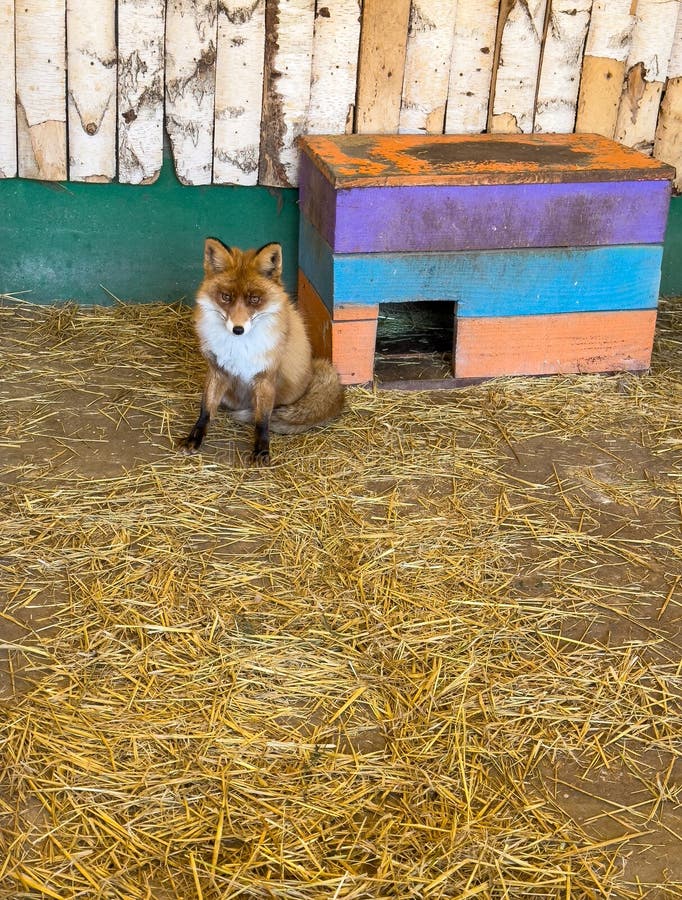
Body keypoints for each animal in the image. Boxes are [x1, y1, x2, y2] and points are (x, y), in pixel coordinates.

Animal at [181, 238, 345, 464]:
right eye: (226, 297)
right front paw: (195, 437)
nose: (238, 329)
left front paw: (261, 449)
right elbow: (205, 410)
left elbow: (262, 420)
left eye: (254, 299)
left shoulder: (266, 377)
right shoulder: (217, 370)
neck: (238, 348)